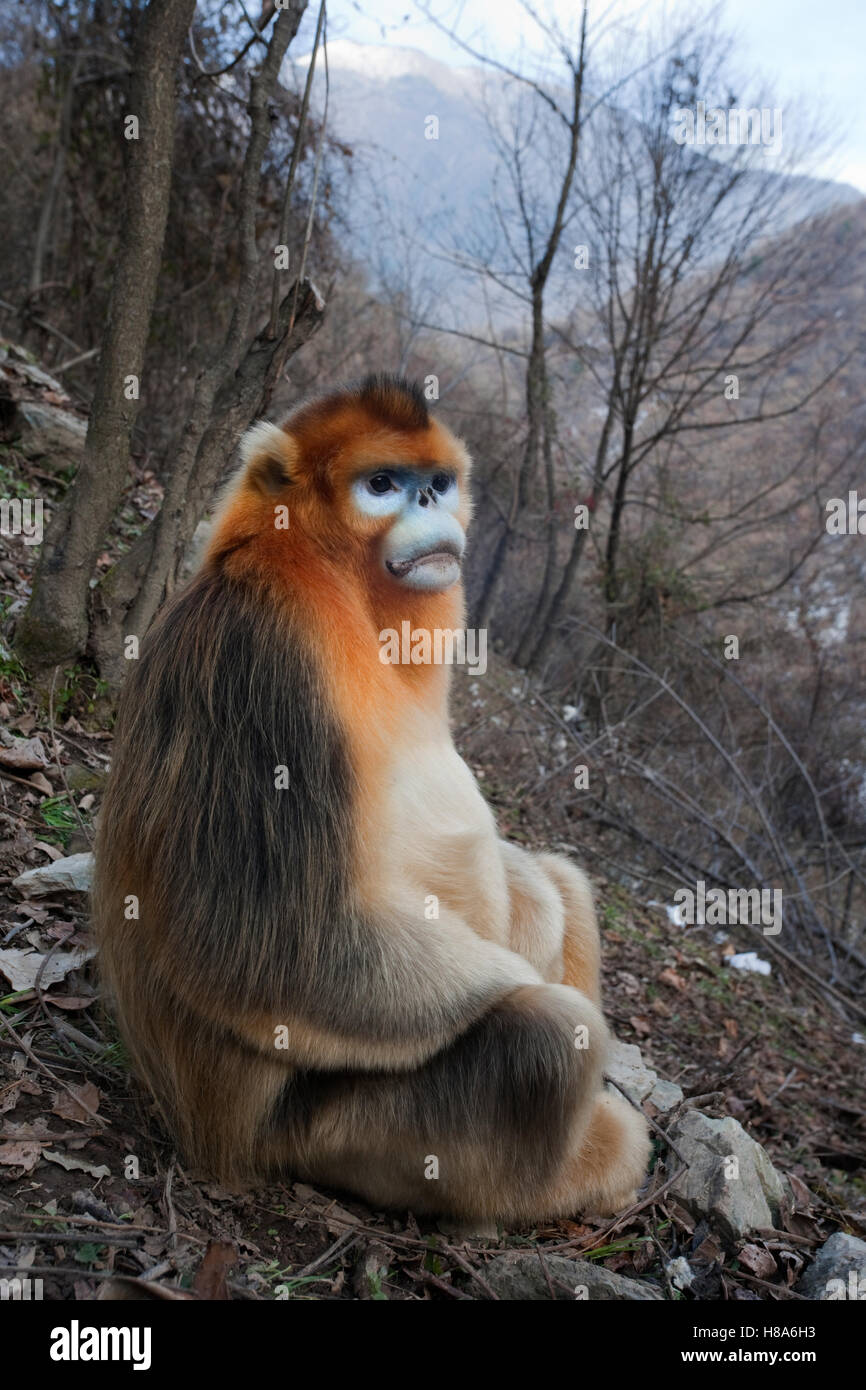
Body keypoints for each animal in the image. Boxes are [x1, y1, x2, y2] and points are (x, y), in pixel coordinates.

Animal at [93, 374, 649, 1225]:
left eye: (438, 483)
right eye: (383, 484)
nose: (426, 503)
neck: (336, 585)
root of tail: (203, 1133)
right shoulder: (267, 656)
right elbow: (270, 945)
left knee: (562, 881)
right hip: (318, 1136)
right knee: (549, 1039)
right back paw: (581, 1166)